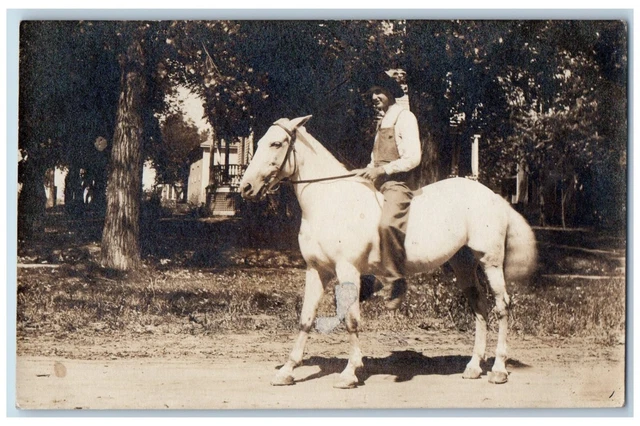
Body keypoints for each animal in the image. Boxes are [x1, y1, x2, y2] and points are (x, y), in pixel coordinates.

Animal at [239, 115, 537, 389]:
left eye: (276, 143)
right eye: (259, 142)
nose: (245, 187)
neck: (331, 202)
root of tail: (494, 196)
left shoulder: (347, 270)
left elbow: (351, 320)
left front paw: (349, 373)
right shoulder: (316, 271)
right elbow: (305, 318)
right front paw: (287, 371)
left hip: (490, 261)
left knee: (502, 306)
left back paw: (498, 369)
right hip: (462, 265)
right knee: (479, 306)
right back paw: (474, 367)